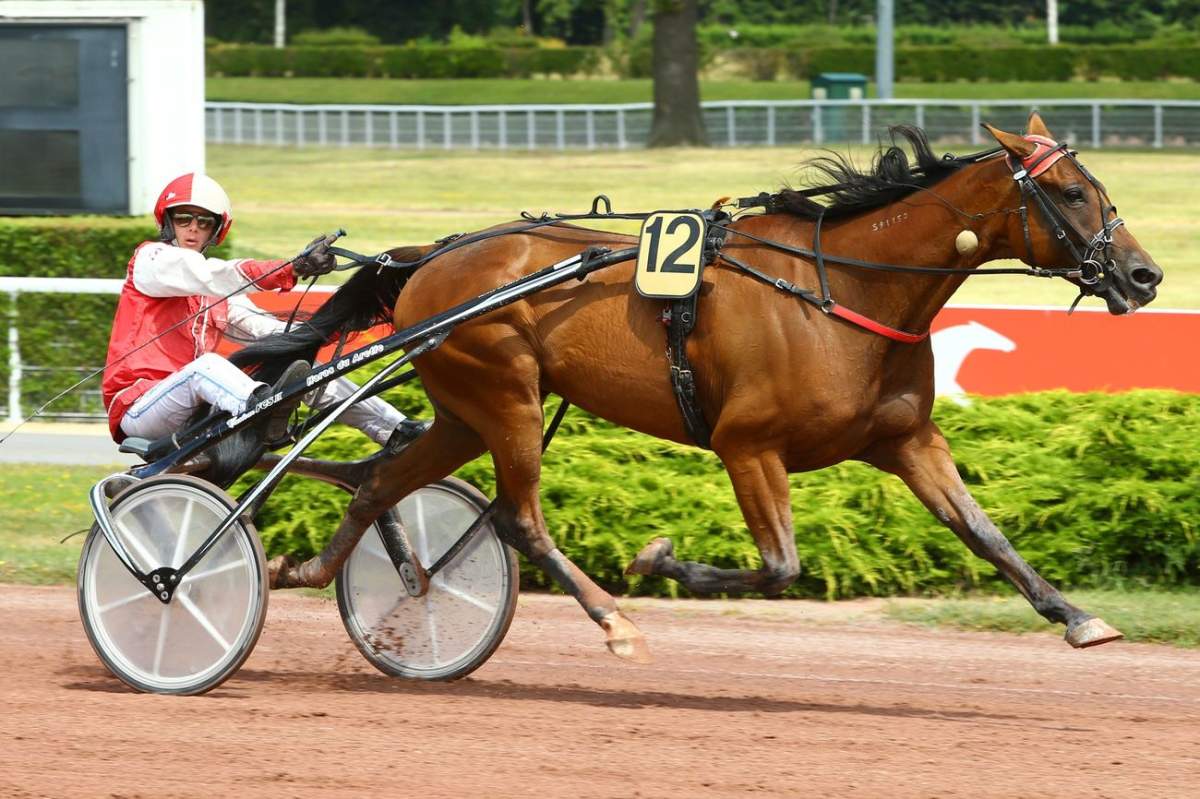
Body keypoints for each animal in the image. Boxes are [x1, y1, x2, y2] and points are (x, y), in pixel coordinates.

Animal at [236, 113, 1163, 663]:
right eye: (1073, 191)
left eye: (1101, 187)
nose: (1146, 275)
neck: (846, 290)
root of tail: (429, 254)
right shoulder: (746, 444)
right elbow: (780, 567)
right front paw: (660, 558)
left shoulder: (906, 439)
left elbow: (984, 531)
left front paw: (1077, 614)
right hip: (506, 396)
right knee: (517, 516)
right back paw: (613, 617)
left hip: (467, 408)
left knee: (381, 481)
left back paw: (308, 567)